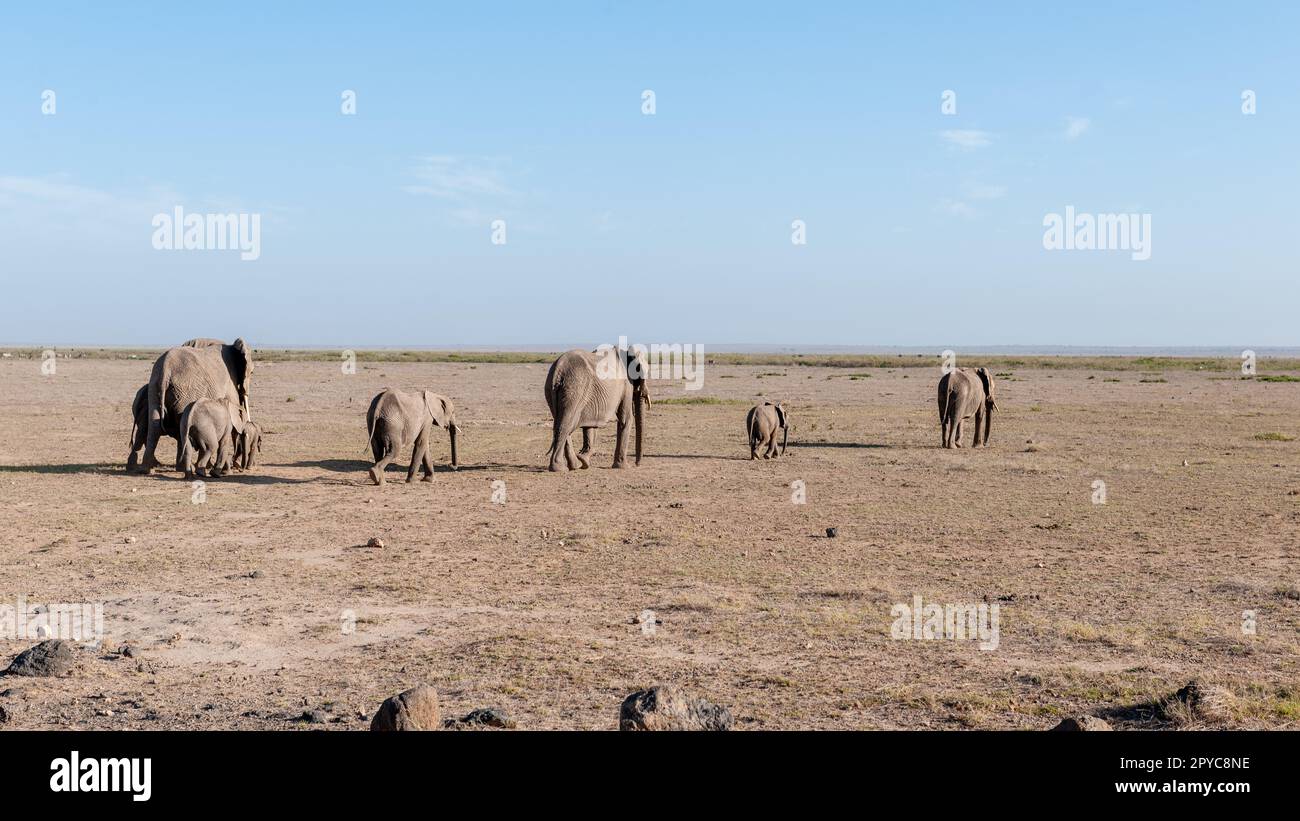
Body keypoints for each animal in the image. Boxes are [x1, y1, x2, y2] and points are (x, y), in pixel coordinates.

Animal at [137, 338, 253, 474]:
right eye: (252, 372)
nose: (241, 468)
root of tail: (166, 368)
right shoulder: (230, 383)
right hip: (185, 391)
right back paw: (185, 468)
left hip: (155, 387)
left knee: (156, 426)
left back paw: (147, 470)